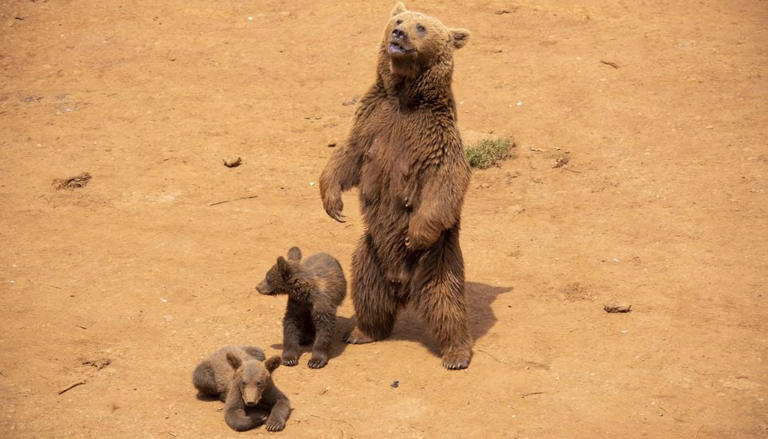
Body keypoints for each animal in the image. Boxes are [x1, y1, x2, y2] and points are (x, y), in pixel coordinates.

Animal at [318, 2, 473, 370]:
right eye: (399, 20)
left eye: (421, 26)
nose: (398, 34)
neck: (405, 96)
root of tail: (402, 285)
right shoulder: (374, 121)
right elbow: (348, 156)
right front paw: (332, 203)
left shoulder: (434, 137)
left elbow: (446, 181)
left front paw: (413, 234)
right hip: (370, 251)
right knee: (367, 293)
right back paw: (362, 331)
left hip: (436, 258)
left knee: (446, 302)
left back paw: (456, 354)